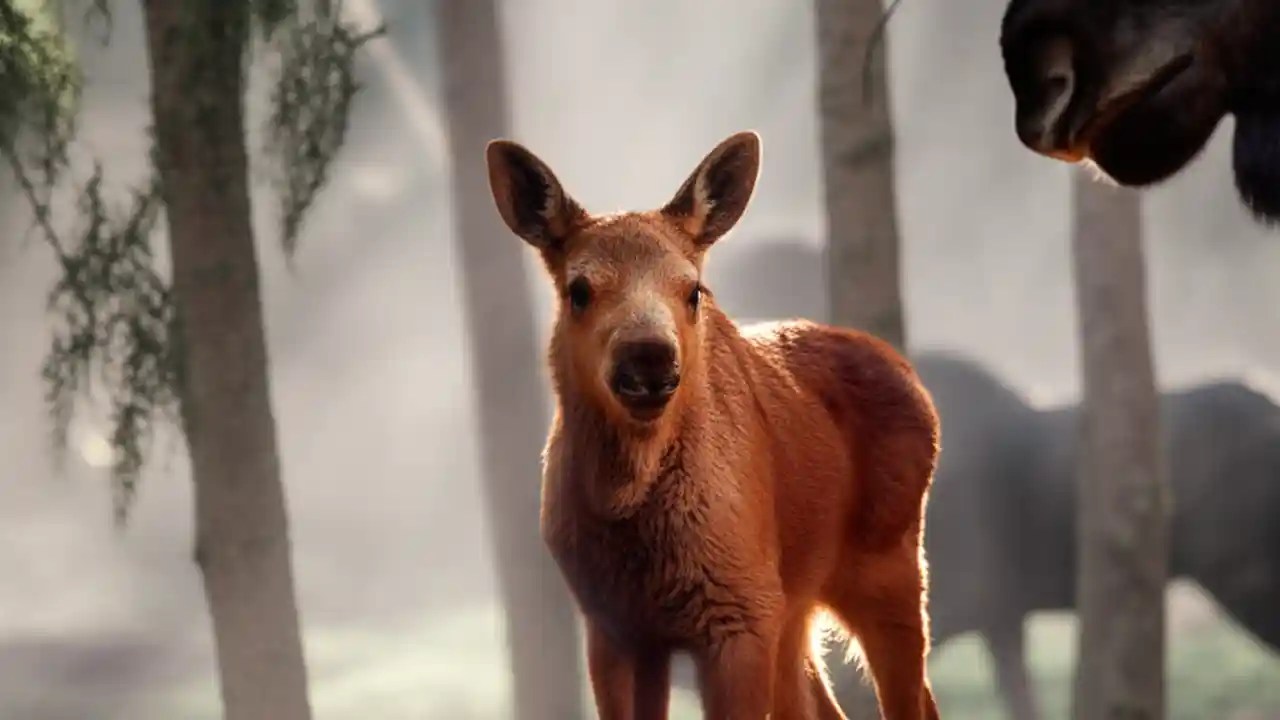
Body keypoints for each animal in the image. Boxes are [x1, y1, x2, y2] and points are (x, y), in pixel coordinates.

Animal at [484, 131, 942, 720]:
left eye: (693, 289)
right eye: (578, 289)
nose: (649, 358)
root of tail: (915, 382)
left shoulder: (740, 613)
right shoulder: (614, 627)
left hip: (889, 566)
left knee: (913, 700)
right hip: (799, 607)